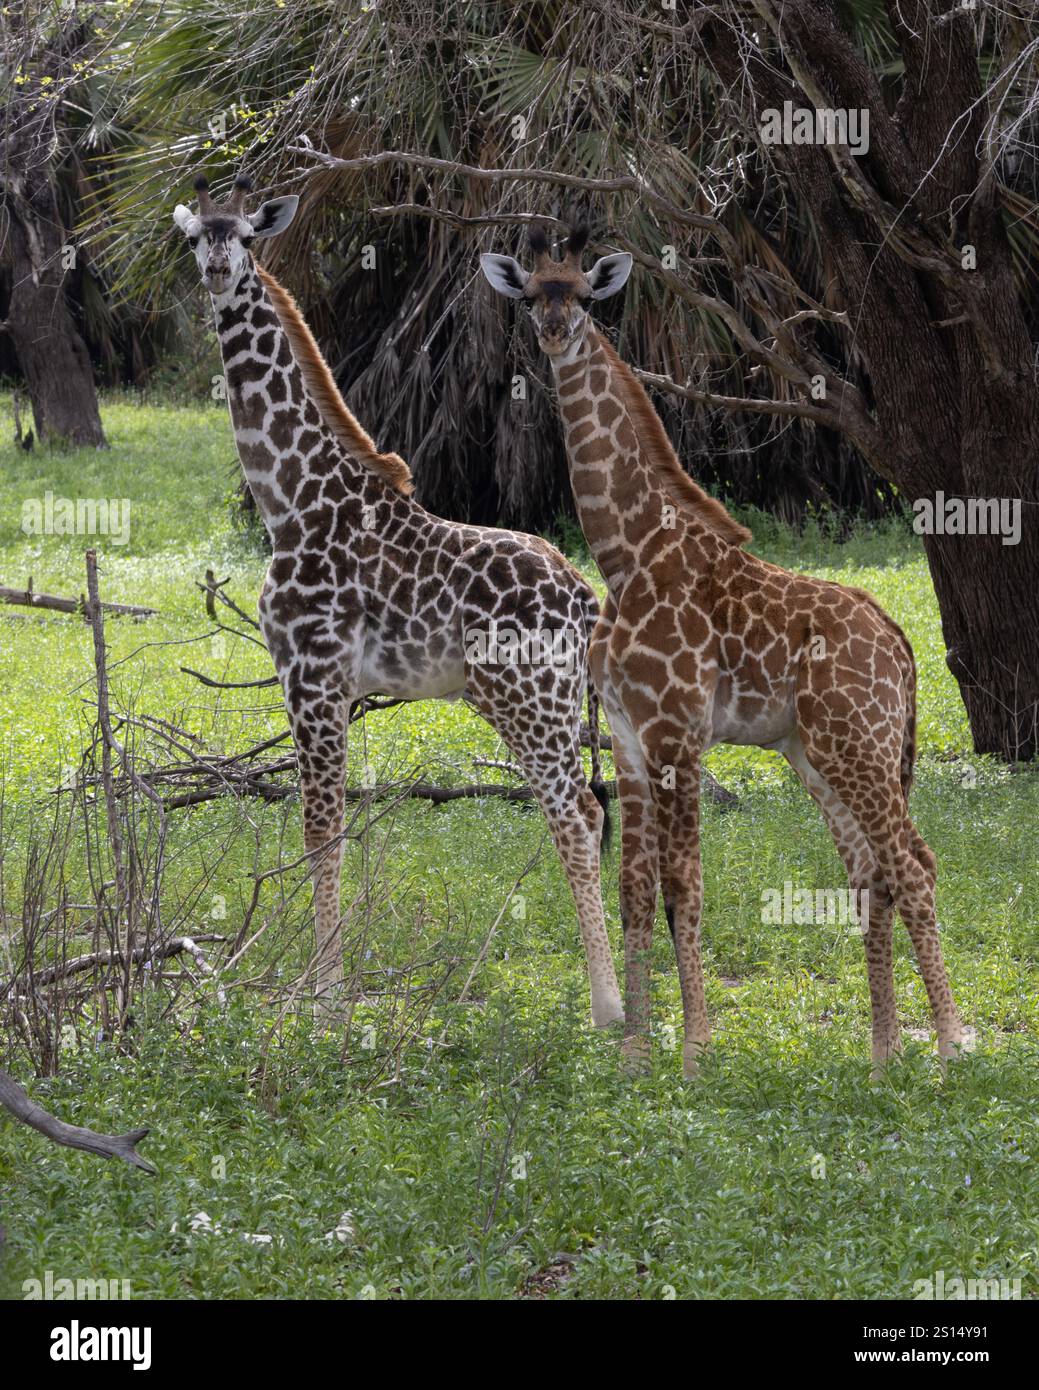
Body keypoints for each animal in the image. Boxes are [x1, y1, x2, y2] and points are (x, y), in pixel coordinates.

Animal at [172, 176, 623, 1027]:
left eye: (245, 234)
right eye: (193, 237)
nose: (216, 268)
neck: (290, 499)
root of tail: (584, 602)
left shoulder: (313, 672)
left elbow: (321, 824)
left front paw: (323, 997)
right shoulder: (323, 682)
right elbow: (331, 821)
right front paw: (328, 987)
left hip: (528, 700)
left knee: (576, 812)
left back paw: (608, 1009)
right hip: (531, 701)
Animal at [481, 226, 965, 1078]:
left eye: (583, 294)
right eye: (531, 294)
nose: (554, 332)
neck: (626, 554)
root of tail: (902, 647)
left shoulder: (678, 734)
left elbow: (684, 887)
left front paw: (694, 1050)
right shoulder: (629, 739)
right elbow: (636, 891)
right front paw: (634, 1051)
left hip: (858, 745)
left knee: (912, 861)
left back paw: (945, 1045)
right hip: (816, 752)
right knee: (869, 870)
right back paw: (880, 1054)